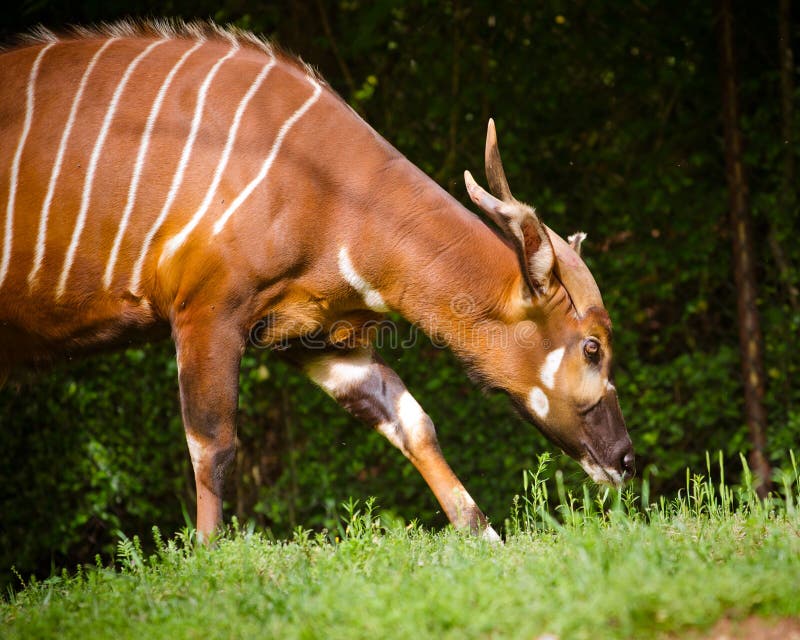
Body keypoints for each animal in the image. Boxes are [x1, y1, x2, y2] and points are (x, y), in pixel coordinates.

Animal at [0, 22, 634, 542]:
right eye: (592, 347)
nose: (626, 460)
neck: (323, 187)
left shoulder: (314, 338)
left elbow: (415, 424)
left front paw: (486, 539)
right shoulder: (205, 312)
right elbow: (213, 445)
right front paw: (209, 560)